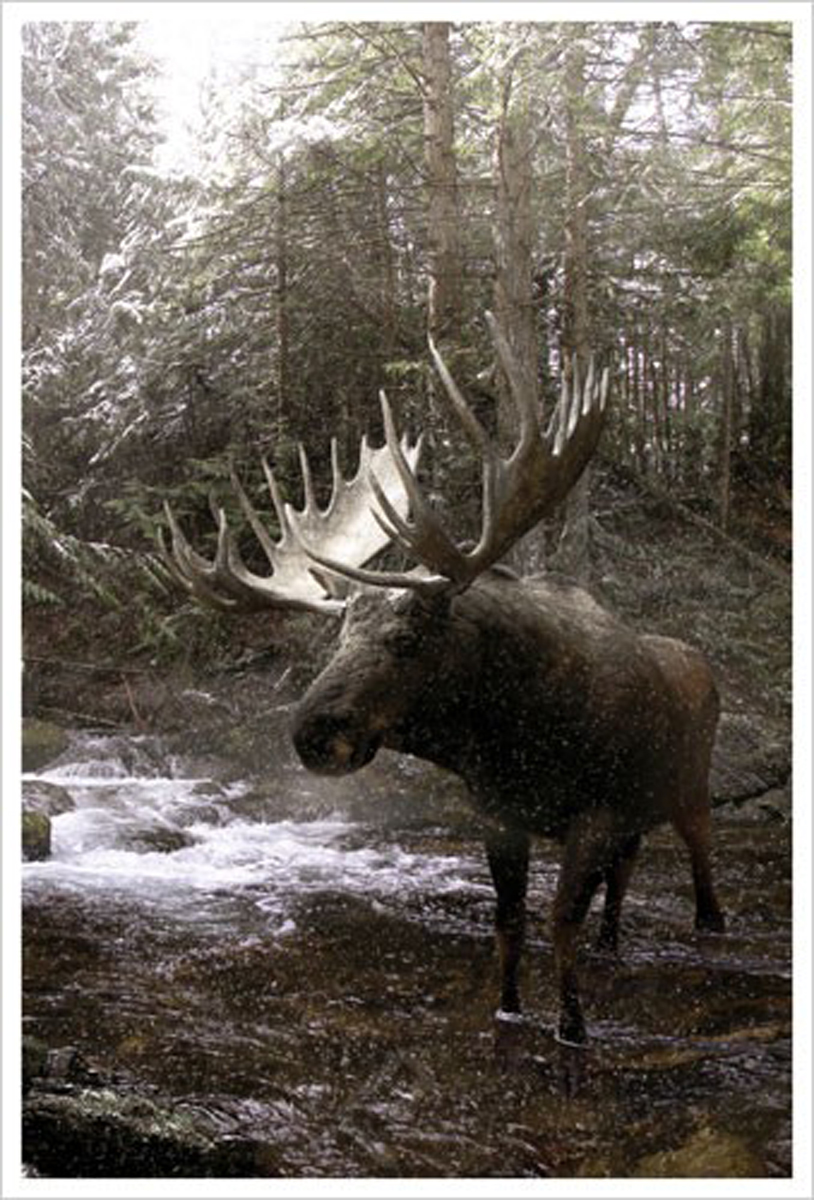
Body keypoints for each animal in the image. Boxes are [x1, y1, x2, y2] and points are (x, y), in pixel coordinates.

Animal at [162, 313, 725, 1048]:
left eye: (405, 641)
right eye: (337, 639)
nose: (312, 732)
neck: (519, 736)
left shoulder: (594, 810)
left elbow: (558, 922)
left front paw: (572, 1025)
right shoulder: (500, 815)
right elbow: (510, 922)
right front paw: (508, 1008)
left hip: (691, 791)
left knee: (703, 878)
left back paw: (706, 929)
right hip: (638, 813)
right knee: (623, 877)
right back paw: (613, 943)